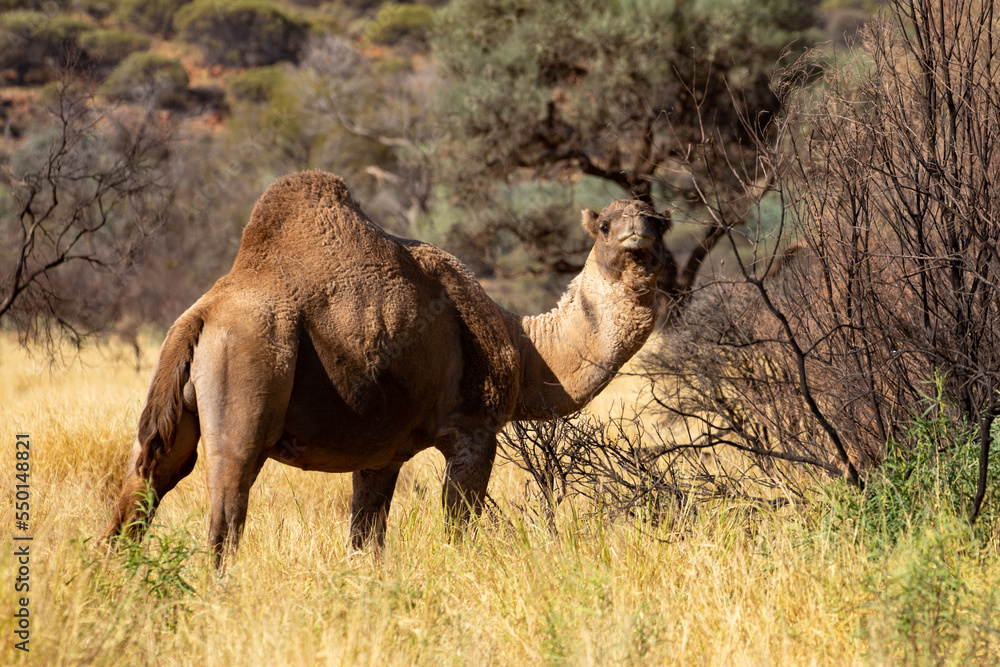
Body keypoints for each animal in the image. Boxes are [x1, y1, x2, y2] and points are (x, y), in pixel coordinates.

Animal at [102, 171, 667, 563]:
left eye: (660, 221)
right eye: (606, 225)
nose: (638, 232)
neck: (524, 345)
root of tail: (202, 315)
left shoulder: (380, 453)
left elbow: (366, 541)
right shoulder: (474, 429)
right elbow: (458, 529)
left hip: (173, 400)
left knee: (145, 482)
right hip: (250, 366)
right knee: (227, 506)